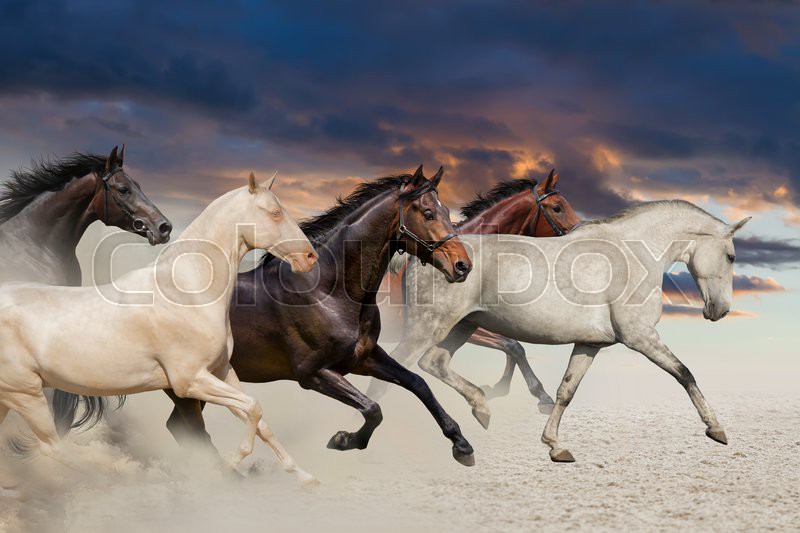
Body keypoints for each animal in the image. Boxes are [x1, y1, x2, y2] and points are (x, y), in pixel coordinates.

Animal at [0, 172, 318, 481]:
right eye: (275, 213)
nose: (309, 257)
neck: (188, 290)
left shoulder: (222, 372)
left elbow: (260, 421)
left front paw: (305, 478)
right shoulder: (190, 381)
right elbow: (253, 408)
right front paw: (231, 464)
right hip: (26, 394)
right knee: (52, 447)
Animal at [132, 165, 477, 466]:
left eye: (447, 211)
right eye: (428, 213)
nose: (463, 266)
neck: (329, 291)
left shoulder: (364, 358)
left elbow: (418, 383)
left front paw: (462, 445)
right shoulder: (314, 374)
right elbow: (373, 409)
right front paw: (343, 440)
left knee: (181, 428)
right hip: (187, 385)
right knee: (190, 429)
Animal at [387, 200, 749, 461]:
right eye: (731, 257)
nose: (719, 310)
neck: (633, 253)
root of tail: (421, 258)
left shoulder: (590, 344)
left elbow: (566, 391)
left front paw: (555, 446)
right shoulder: (641, 337)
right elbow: (684, 373)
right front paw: (716, 429)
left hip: (463, 327)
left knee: (433, 364)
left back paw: (481, 410)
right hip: (426, 328)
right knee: (399, 370)